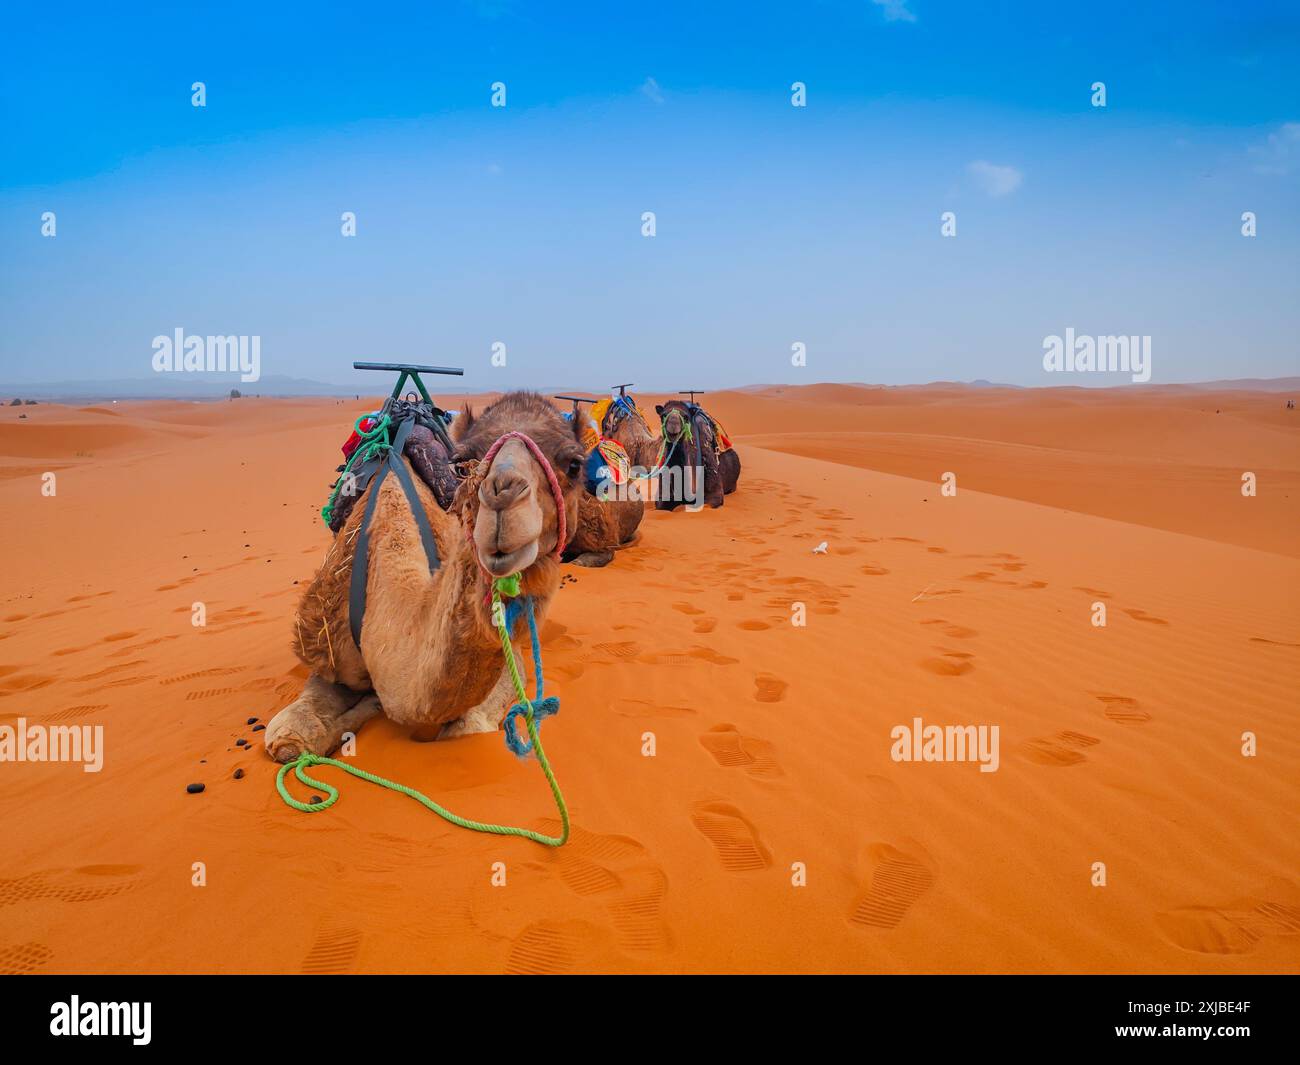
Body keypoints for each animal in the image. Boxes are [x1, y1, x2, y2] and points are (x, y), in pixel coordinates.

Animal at [264, 391, 591, 764]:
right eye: (461, 463)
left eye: (575, 464)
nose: (502, 496)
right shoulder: (328, 649)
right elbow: (288, 741)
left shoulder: (511, 666)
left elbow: (466, 728)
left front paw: (371, 707)